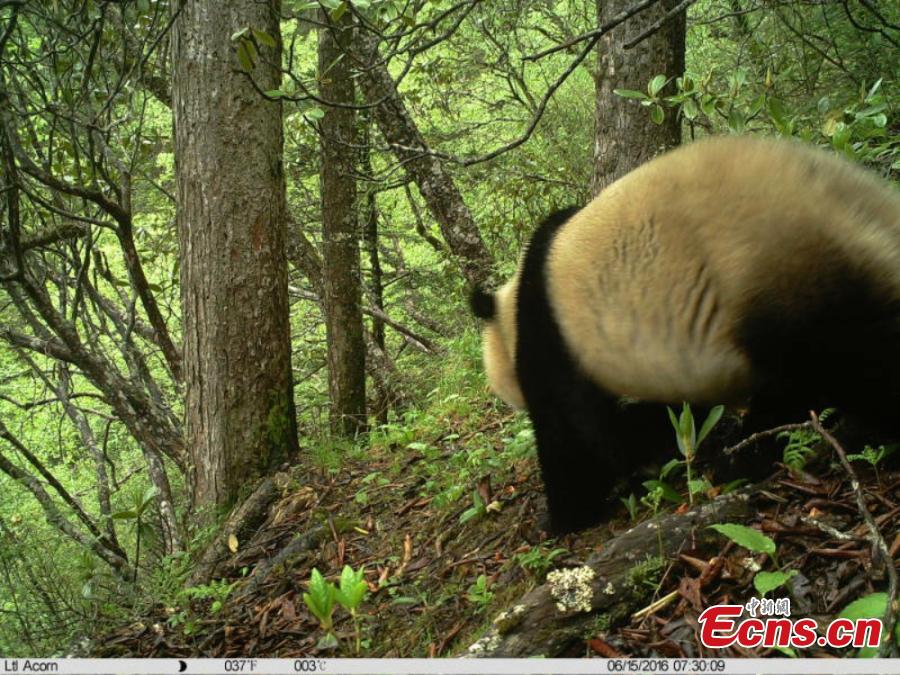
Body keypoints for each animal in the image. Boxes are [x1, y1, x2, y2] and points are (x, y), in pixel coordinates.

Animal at [471, 135, 900, 535]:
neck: (510, 313)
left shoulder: (554, 338)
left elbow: (581, 438)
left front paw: (561, 518)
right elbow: (677, 413)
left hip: (775, 271)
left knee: (851, 357)